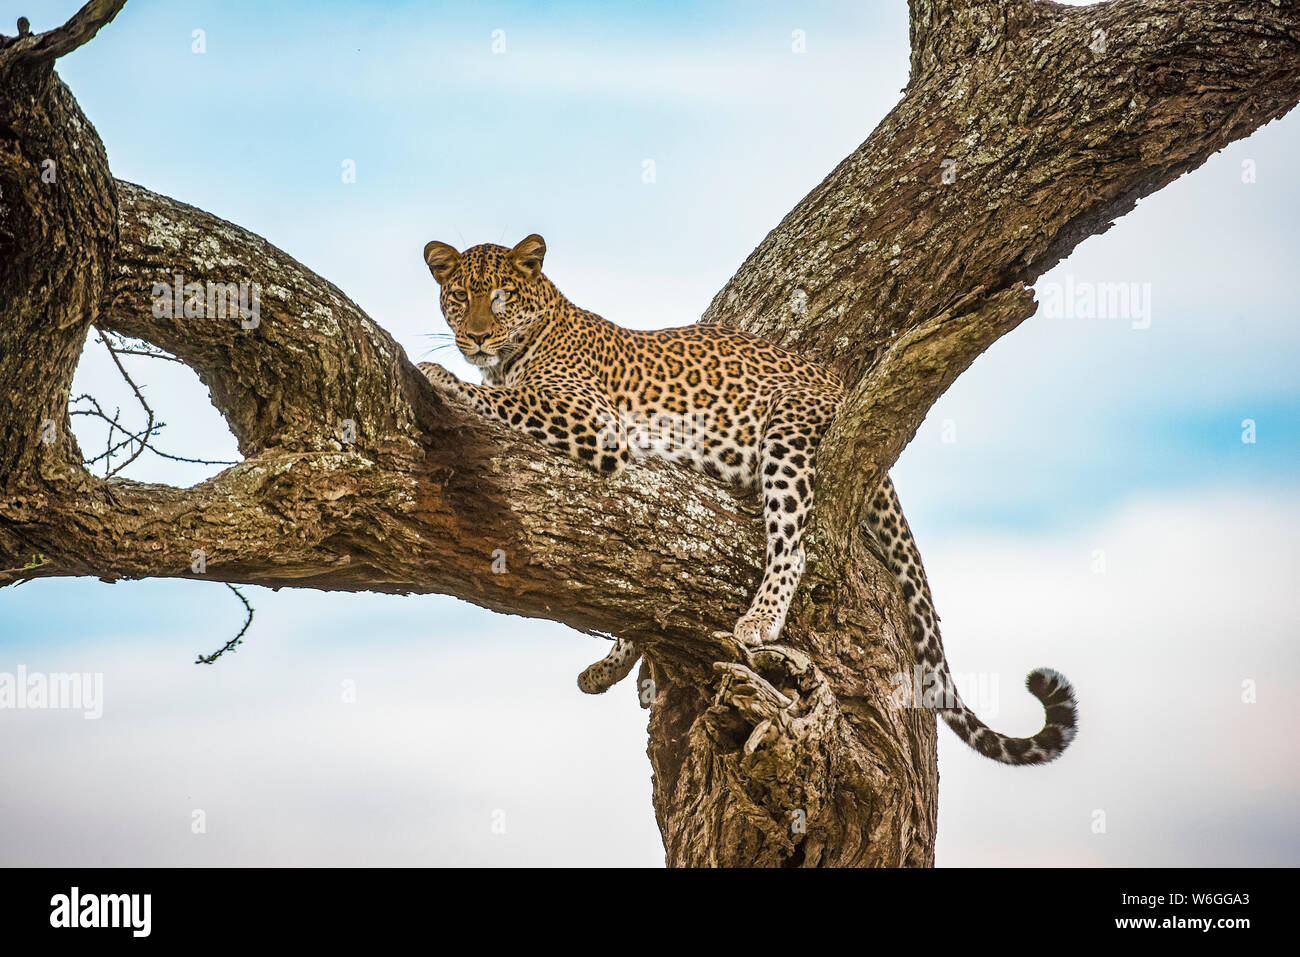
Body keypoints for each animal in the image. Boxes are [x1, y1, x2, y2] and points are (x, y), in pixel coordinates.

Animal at [417, 234, 1078, 765]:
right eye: (459, 295)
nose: (475, 336)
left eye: (501, 296)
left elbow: (503, 399)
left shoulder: (588, 417)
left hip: (787, 430)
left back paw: (758, 621)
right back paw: (613, 664)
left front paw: (436, 374)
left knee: (795, 547)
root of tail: (839, 384)